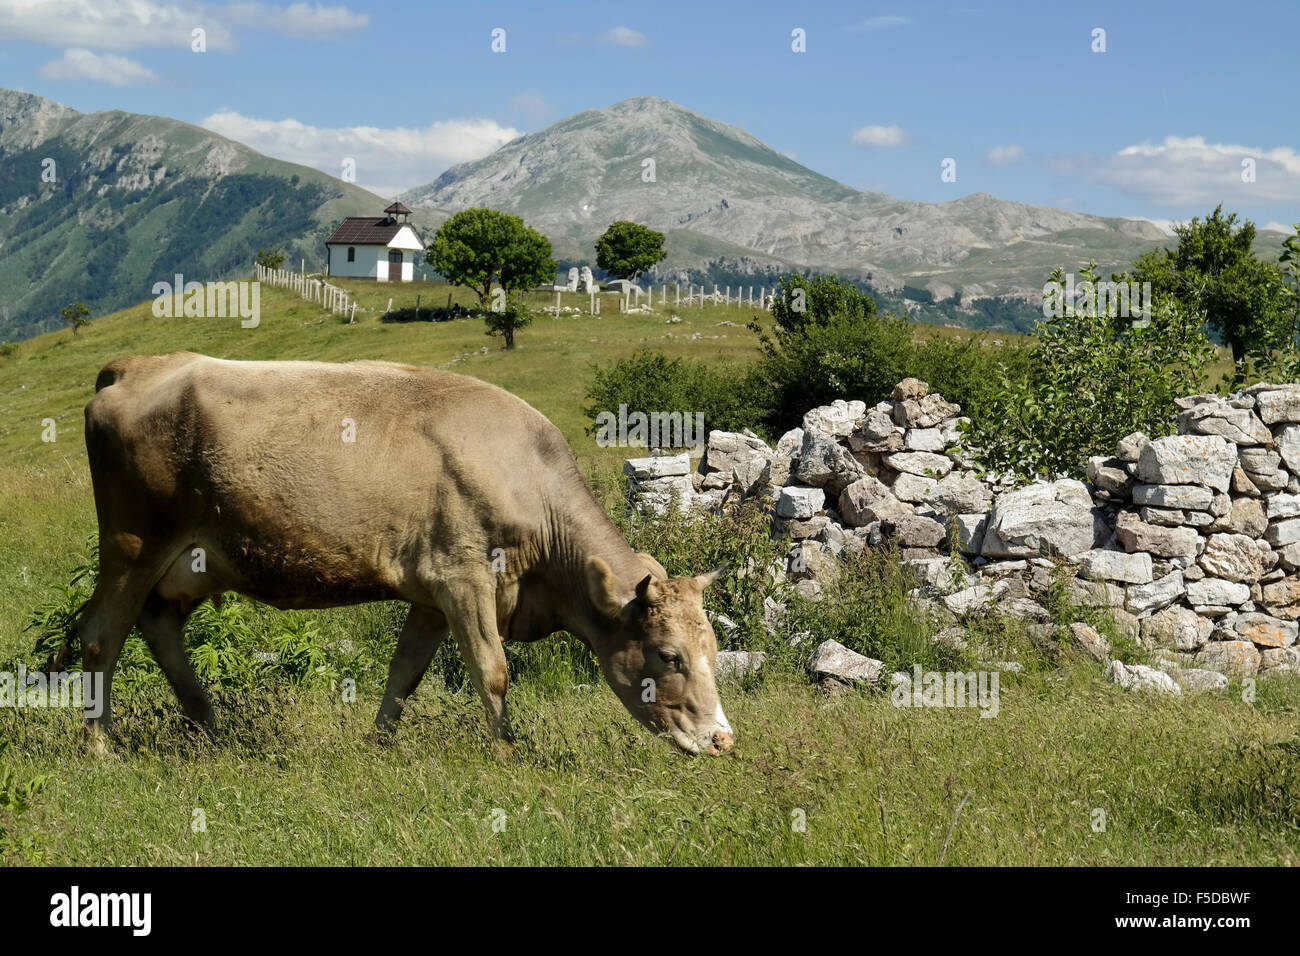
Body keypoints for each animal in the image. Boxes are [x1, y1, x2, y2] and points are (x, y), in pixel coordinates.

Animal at [70, 352, 735, 756]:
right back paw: (101, 749)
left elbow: (405, 673)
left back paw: (211, 728)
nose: (723, 739)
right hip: (132, 544)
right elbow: (492, 671)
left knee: (158, 626)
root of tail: (137, 365)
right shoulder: (465, 577)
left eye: (713, 650)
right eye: (669, 655)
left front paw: (379, 746)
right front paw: (508, 754)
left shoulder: (432, 595)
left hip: (190, 563)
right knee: (101, 634)